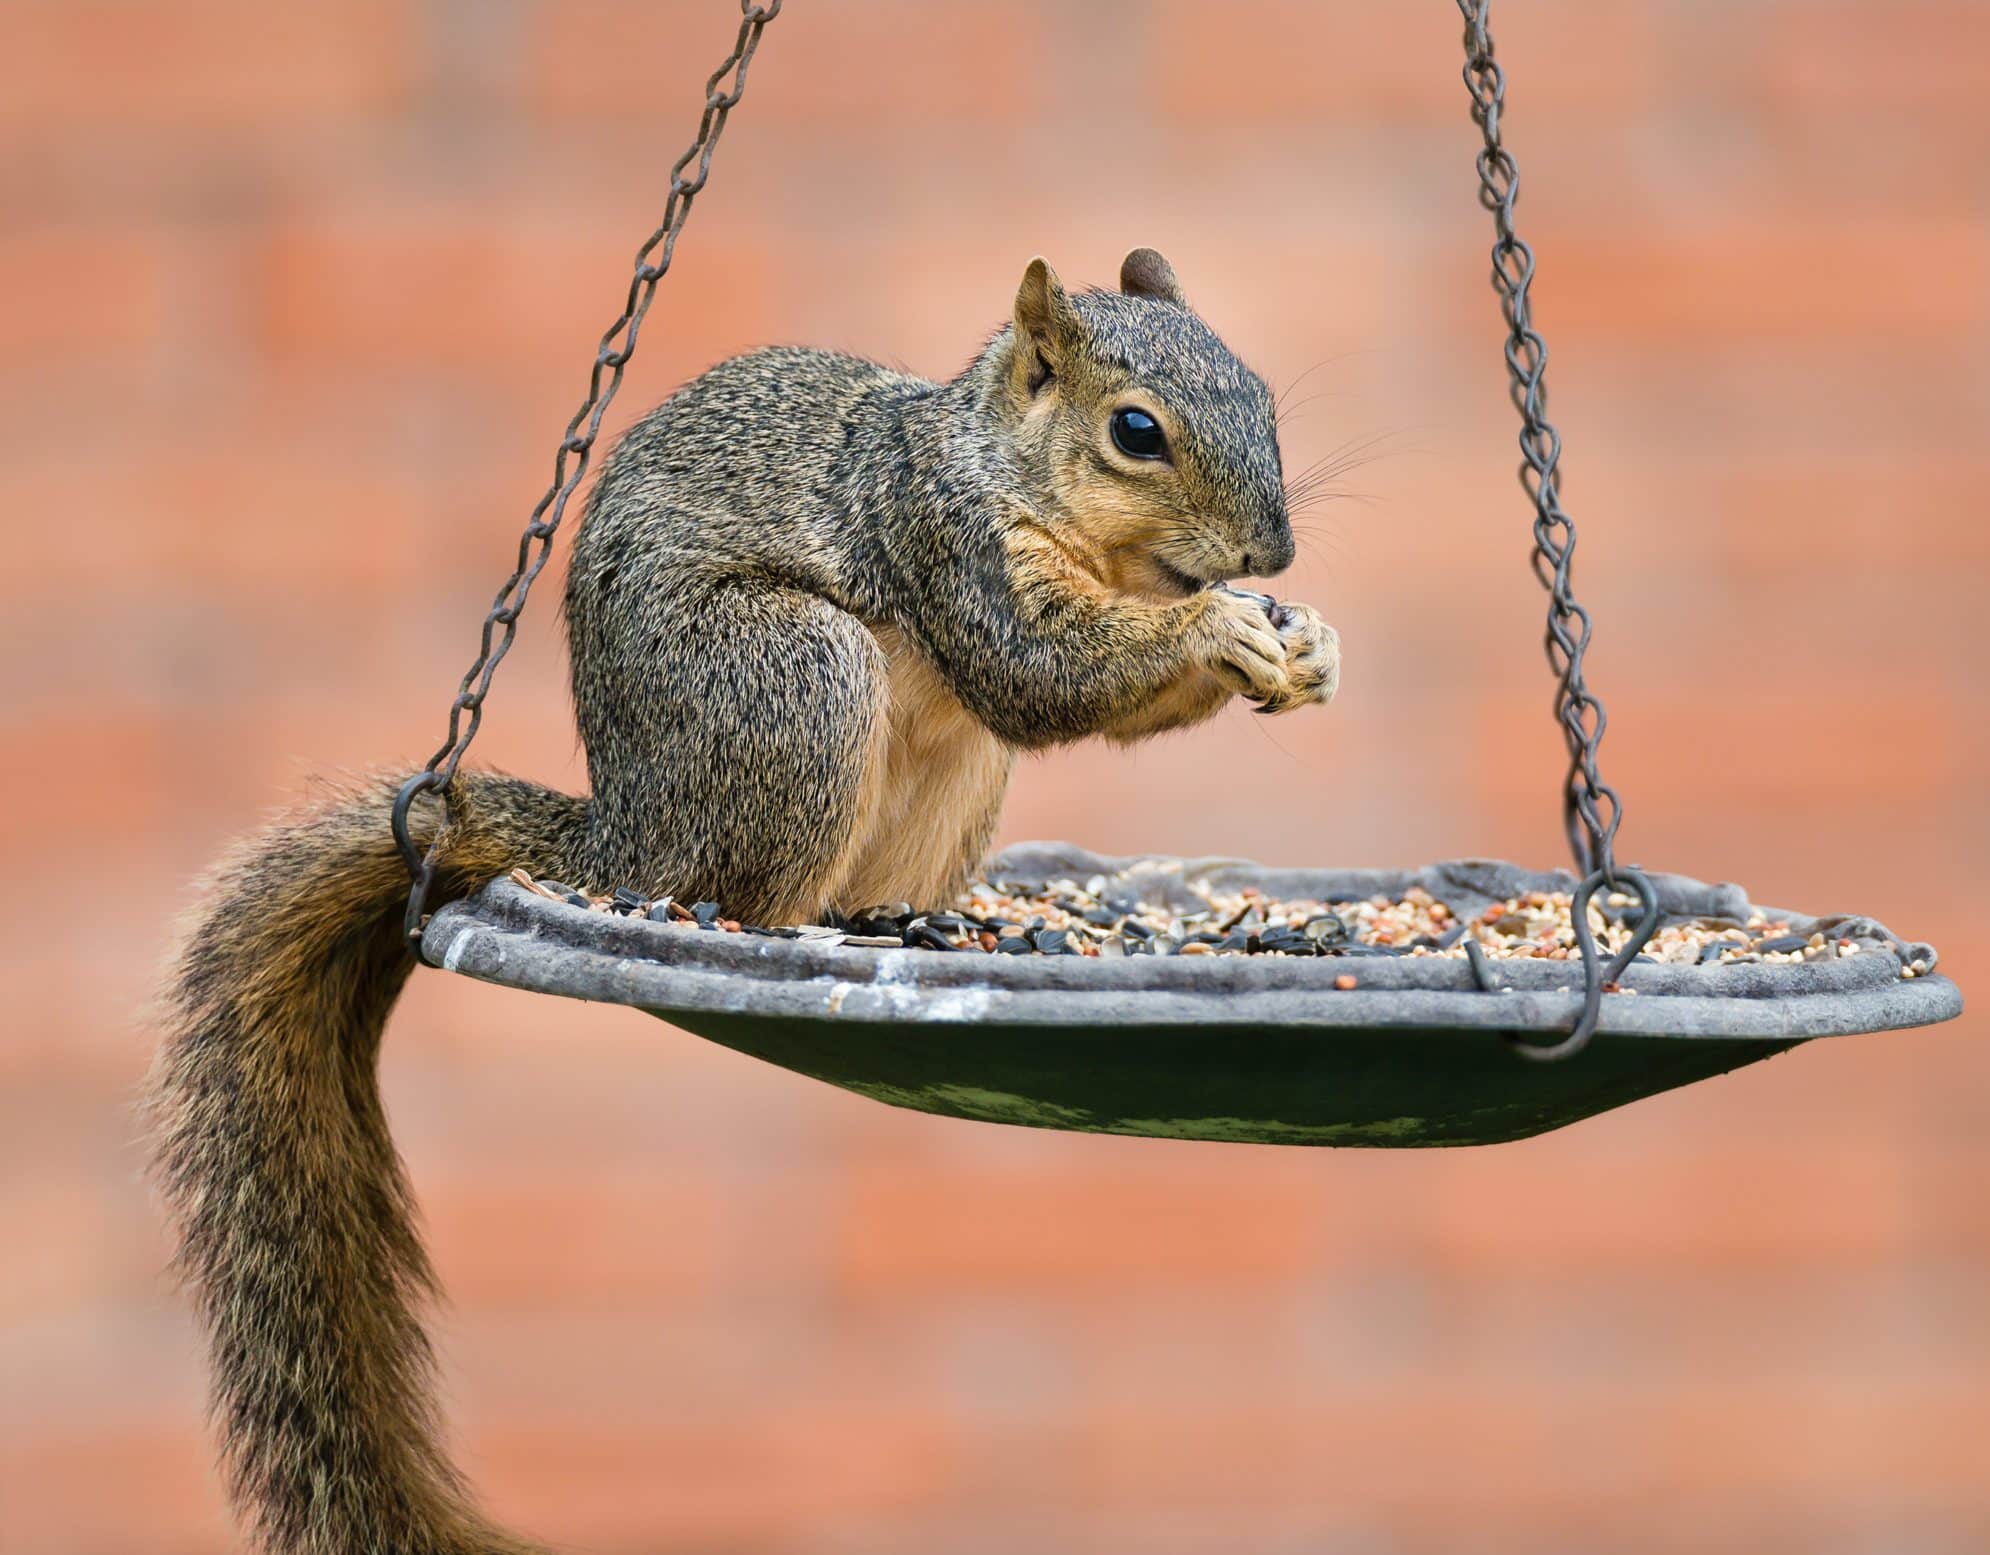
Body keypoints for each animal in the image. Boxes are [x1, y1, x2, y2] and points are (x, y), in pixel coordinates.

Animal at [151, 248, 1337, 1545]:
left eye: (1265, 398)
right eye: (1135, 431)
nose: (1272, 555)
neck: (1004, 468)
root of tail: (625, 836)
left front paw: (1308, 646)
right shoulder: (950, 547)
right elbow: (1041, 673)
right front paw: (1218, 626)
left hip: (942, 772)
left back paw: (915, 921)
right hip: (792, 675)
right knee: (750, 893)